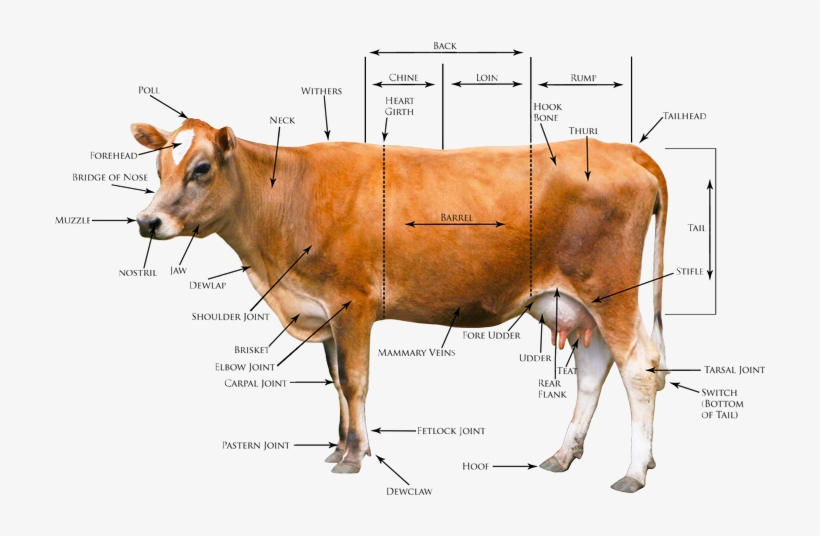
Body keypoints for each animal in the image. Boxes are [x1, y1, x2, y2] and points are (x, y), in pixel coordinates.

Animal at [131, 118, 668, 493]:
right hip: (574, 301)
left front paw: (353, 458)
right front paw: (346, 448)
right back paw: (564, 454)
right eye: (157, 167)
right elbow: (338, 383)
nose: (147, 221)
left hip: (609, 290)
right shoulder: (324, 312)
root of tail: (618, 149)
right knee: (594, 369)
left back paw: (634, 472)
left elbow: (355, 382)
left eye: (201, 168)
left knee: (639, 366)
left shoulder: (352, 303)